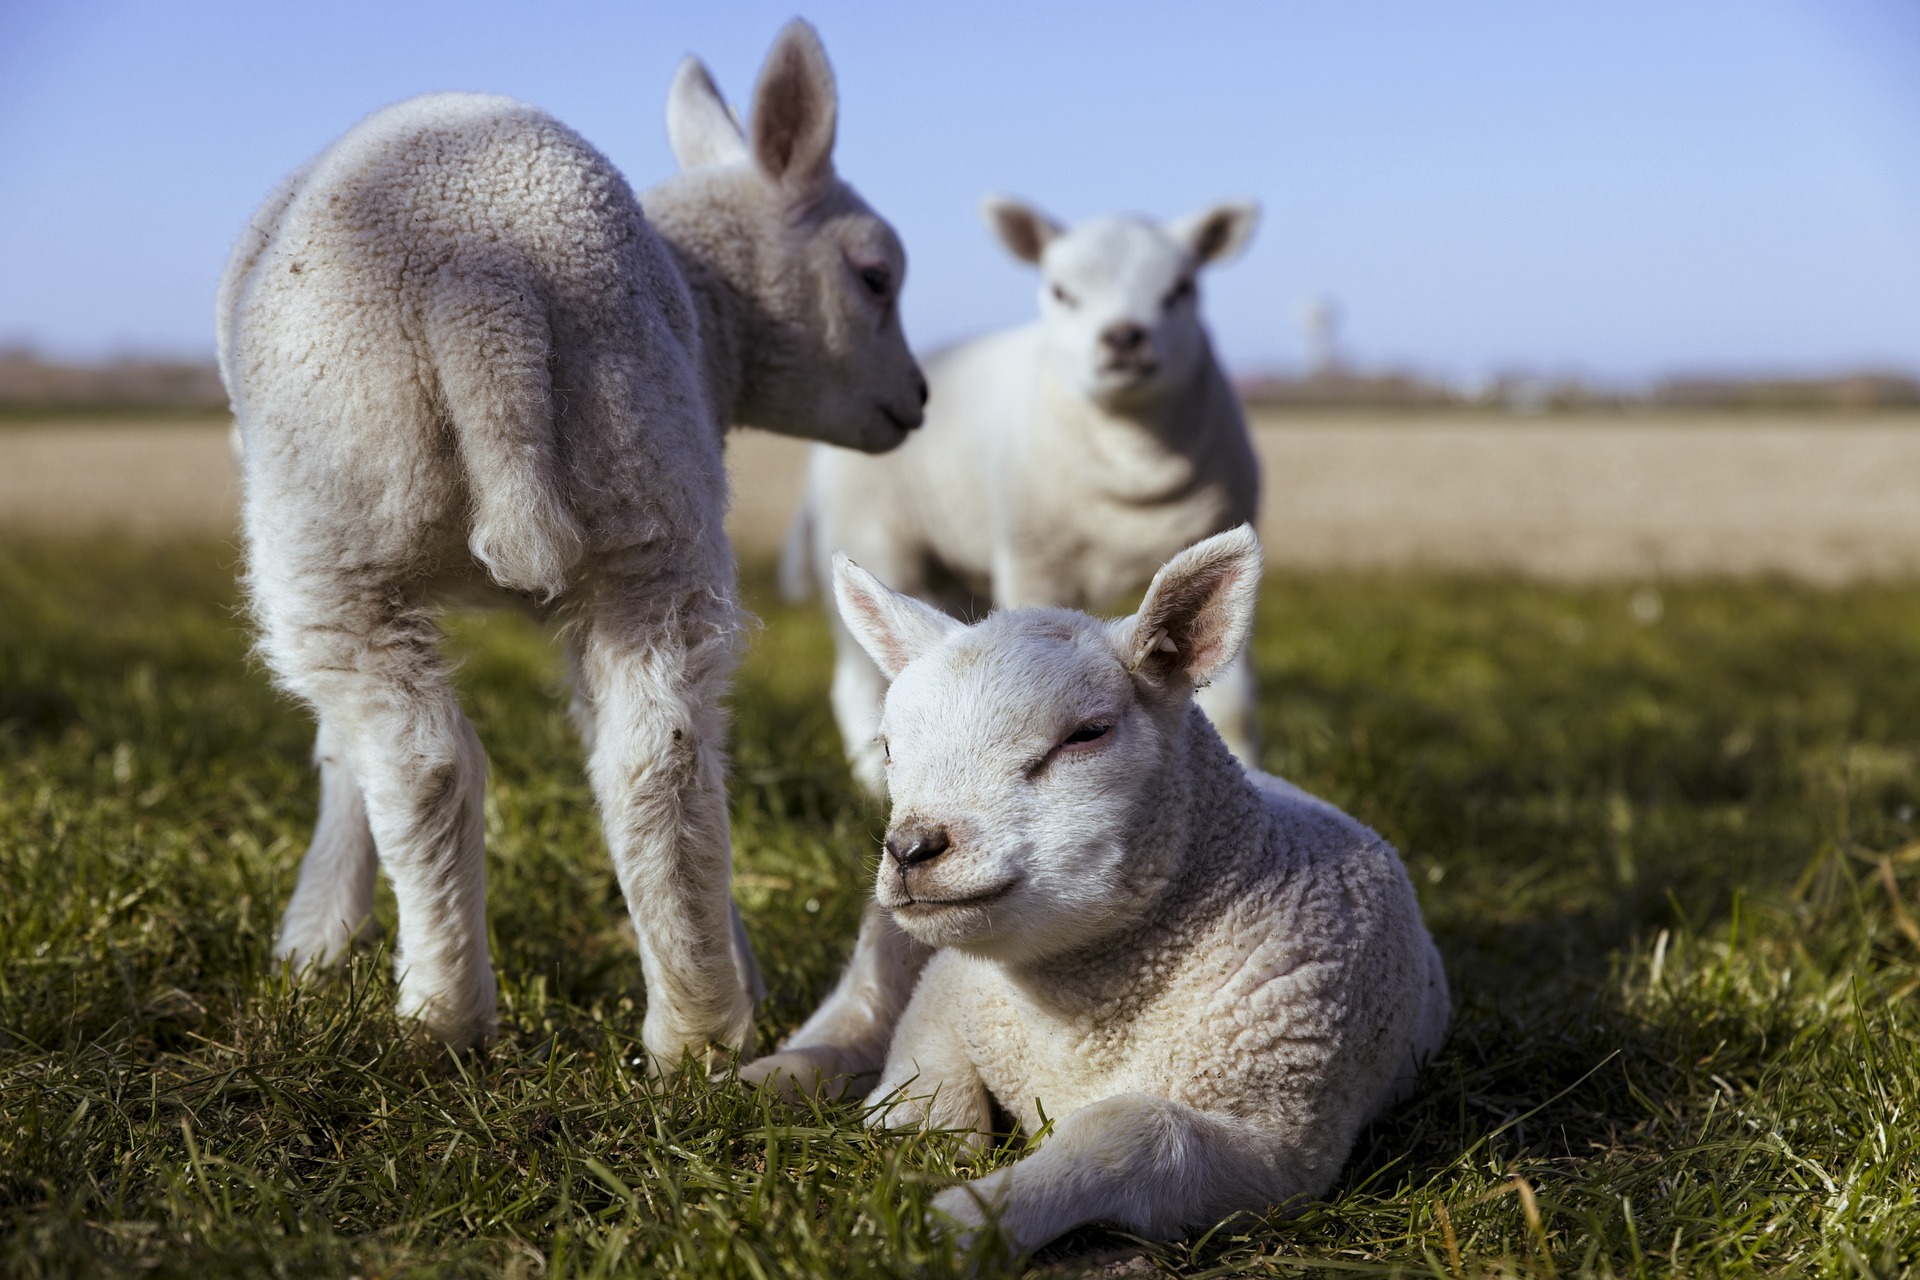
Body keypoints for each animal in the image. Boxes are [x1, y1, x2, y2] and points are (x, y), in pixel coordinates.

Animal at [216, 20, 927, 1064]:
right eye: (875, 278)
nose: (918, 400)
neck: (714, 311)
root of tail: (487, 288)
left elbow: (340, 758)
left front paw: (314, 938)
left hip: (335, 527)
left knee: (418, 763)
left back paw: (443, 1016)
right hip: (647, 497)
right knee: (656, 758)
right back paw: (698, 1027)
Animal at [748, 526, 1448, 1257]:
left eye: (1087, 734)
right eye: (887, 747)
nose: (911, 850)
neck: (1073, 1019)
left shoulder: (1284, 1153)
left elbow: (1130, 1130)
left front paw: (957, 1221)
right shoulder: (947, 986)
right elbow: (925, 1083)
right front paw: (912, 1145)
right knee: (860, 1005)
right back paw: (763, 1078)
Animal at [782, 196, 1264, 794]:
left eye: (1181, 288)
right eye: (1059, 291)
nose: (1124, 337)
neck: (1132, 460)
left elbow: (1234, 703)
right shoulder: (1034, 560)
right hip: (872, 534)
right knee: (856, 681)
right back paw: (872, 782)